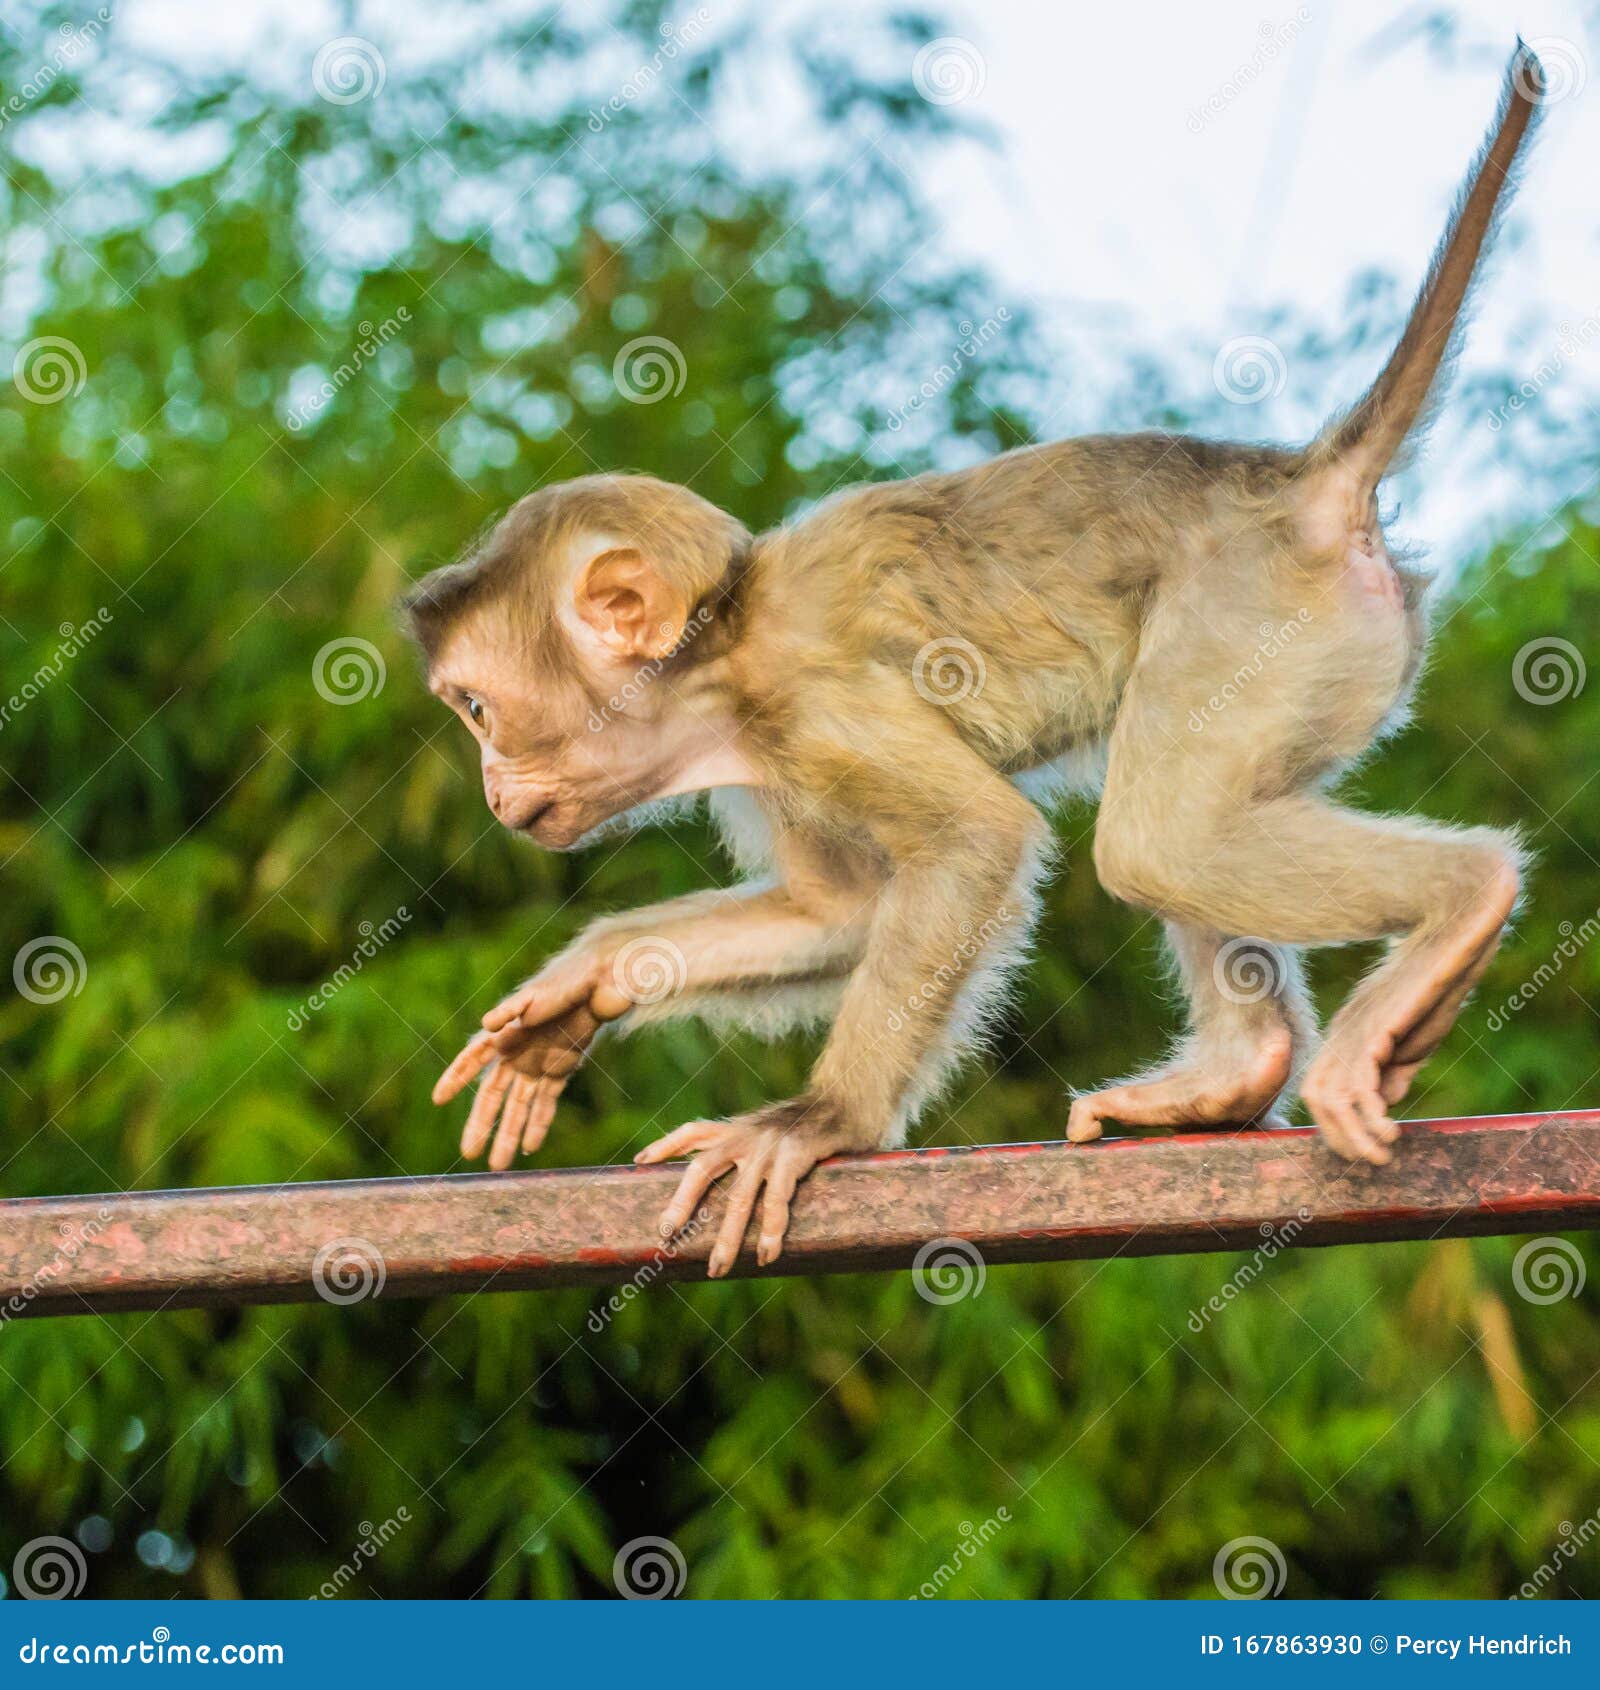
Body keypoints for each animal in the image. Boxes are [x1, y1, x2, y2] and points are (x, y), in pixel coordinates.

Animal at [406, 46, 1543, 1279]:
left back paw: (1462, 903)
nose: (488, 784)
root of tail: (1301, 489)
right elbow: (839, 912)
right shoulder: (770, 759)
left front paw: (820, 1122)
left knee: (1161, 837)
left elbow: (977, 840)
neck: (723, 653)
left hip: (1261, 614)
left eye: (477, 709)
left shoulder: (812, 704)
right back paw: (1232, 1074)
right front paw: (592, 978)